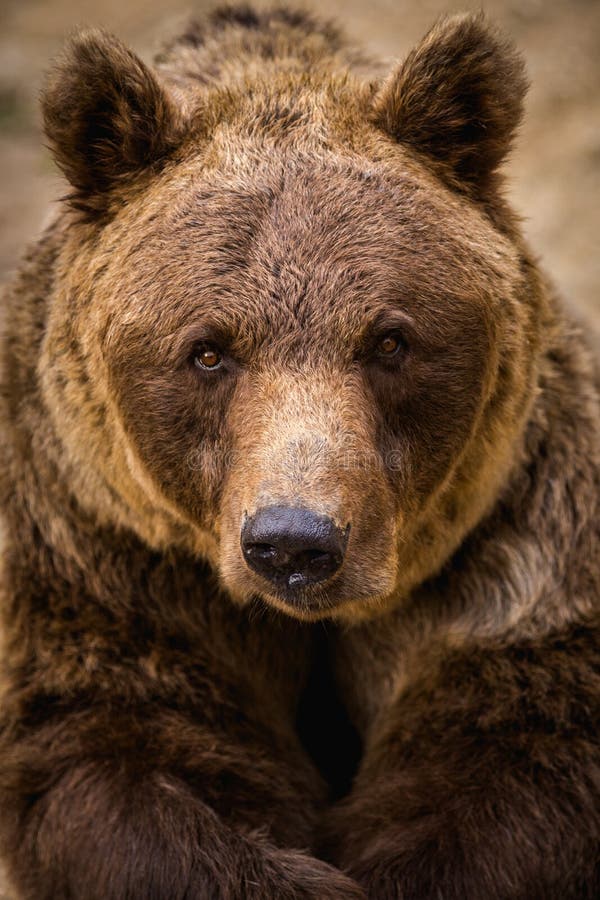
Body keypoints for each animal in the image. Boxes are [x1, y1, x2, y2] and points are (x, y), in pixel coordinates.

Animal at [0, 3, 598, 898]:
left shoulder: (513, 551)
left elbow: (503, 761)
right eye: (208, 350)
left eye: (389, 340)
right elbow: (129, 760)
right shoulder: (97, 556)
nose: (295, 543)